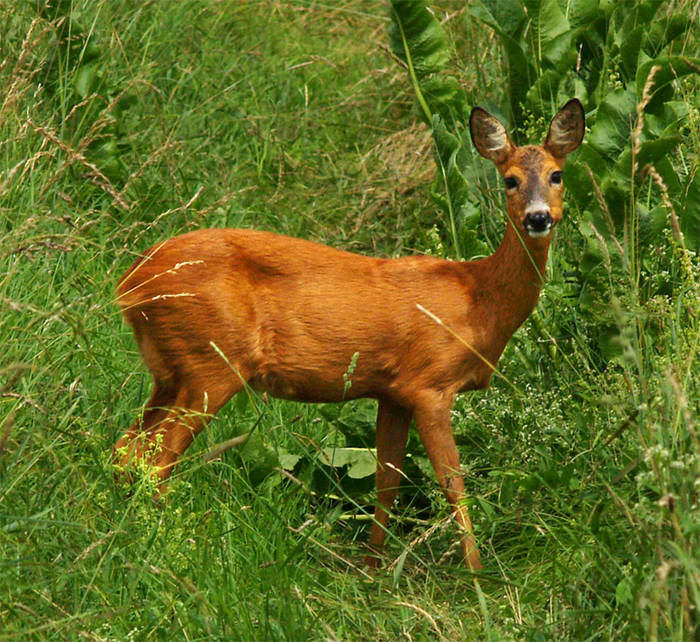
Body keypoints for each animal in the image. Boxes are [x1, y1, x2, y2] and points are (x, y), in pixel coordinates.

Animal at [115, 97, 584, 568]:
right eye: (510, 179)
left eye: (556, 175)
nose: (538, 217)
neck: (479, 299)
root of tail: (131, 282)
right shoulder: (430, 384)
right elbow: (453, 484)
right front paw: (477, 572)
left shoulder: (394, 393)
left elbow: (387, 481)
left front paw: (372, 567)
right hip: (212, 362)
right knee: (155, 461)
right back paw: (174, 547)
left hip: (169, 371)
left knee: (126, 450)